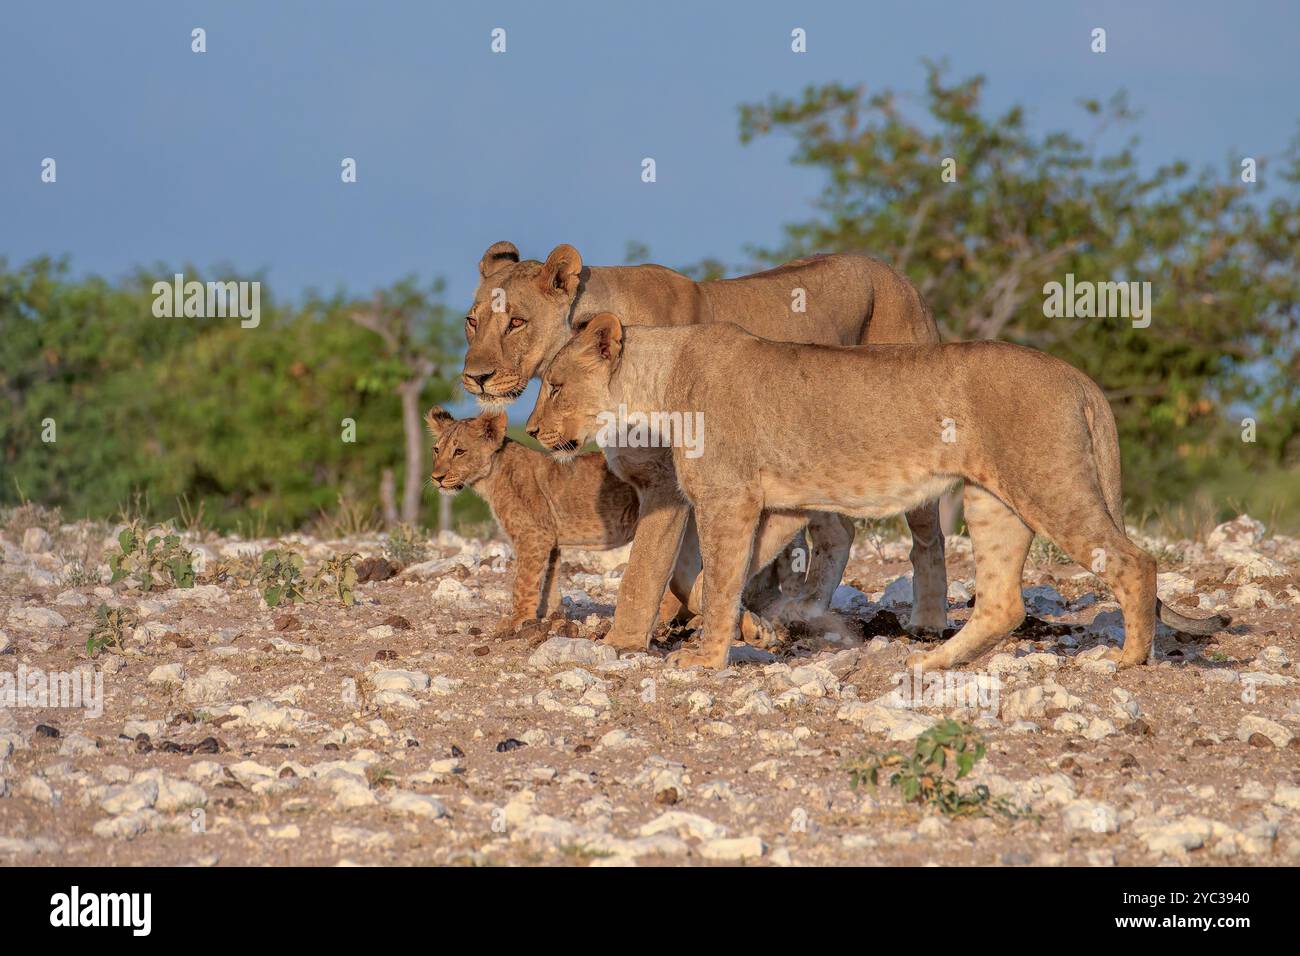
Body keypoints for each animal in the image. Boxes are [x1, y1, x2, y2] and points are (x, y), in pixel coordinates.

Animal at [461, 241, 948, 651]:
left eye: (517, 321)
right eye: (472, 321)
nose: (475, 377)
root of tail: (899, 275)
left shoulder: (664, 484)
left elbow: (645, 570)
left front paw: (623, 641)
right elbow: (688, 572)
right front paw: (747, 624)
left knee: (928, 535)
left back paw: (927, 622)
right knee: (838, 531)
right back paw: (803, 614)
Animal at [525, 313, 1229, 671]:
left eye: (554, 384)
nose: (530, 430)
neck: (661, 381)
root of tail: (1078, 377)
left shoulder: (729, 500)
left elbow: (720, 582)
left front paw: (707, 660)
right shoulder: (780, 505)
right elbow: (712, 583)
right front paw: (767, 631)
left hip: (1049, 483)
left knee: (1136, 562)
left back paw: (1129, 661)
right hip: (993, 501)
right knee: (1003, 603)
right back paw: (931, 665)